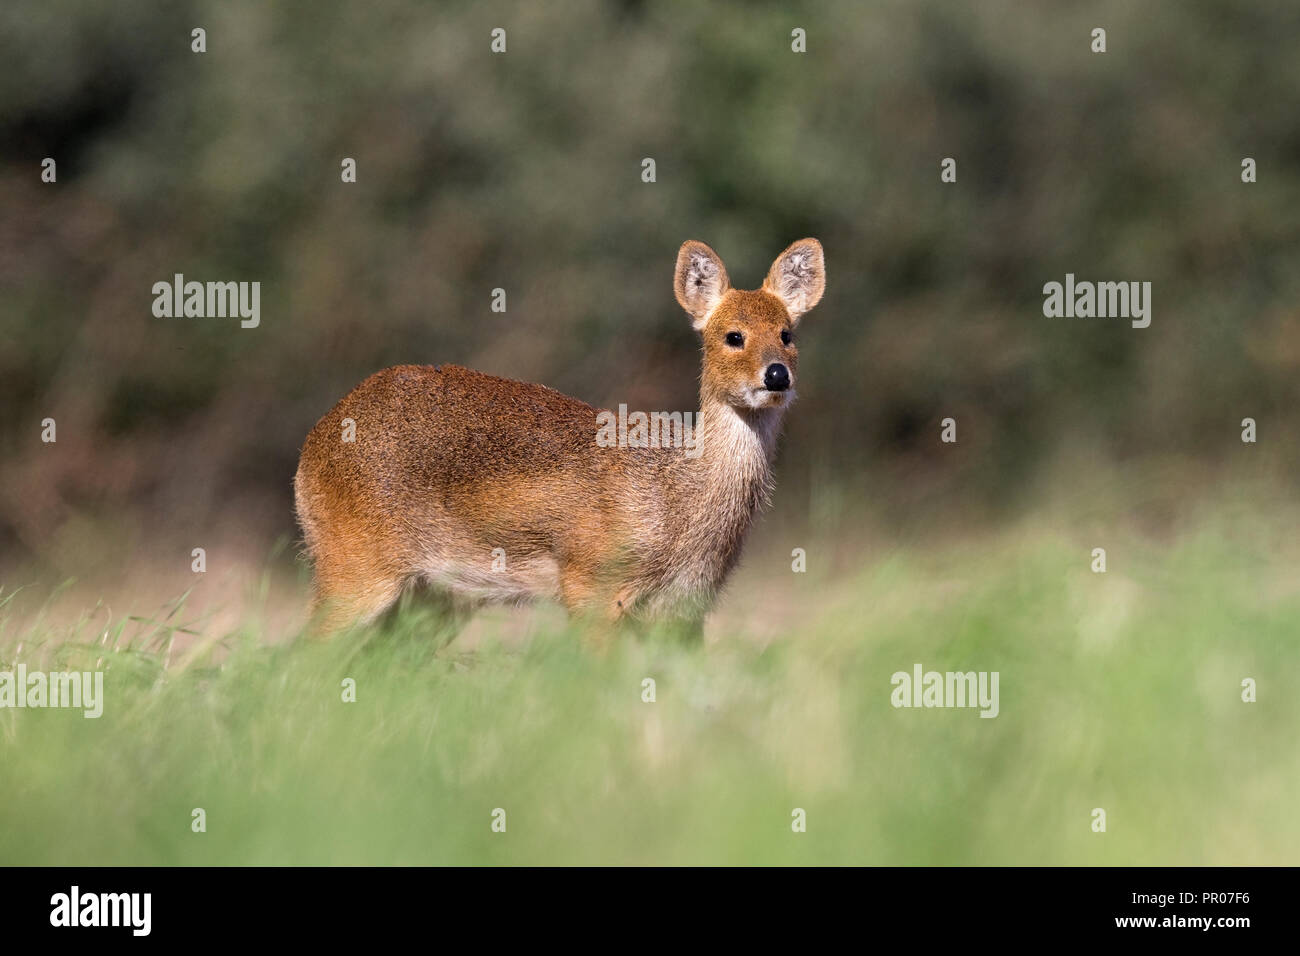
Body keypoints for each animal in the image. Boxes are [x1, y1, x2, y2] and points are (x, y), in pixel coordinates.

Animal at [293, 238, 825, 640]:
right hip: (357, 569)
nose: (776, 376)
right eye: (733, 335)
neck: (679, 495)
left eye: (787, 333)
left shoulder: (683, 611)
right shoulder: (590, 586)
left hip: (433, 599)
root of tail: (312, 447)